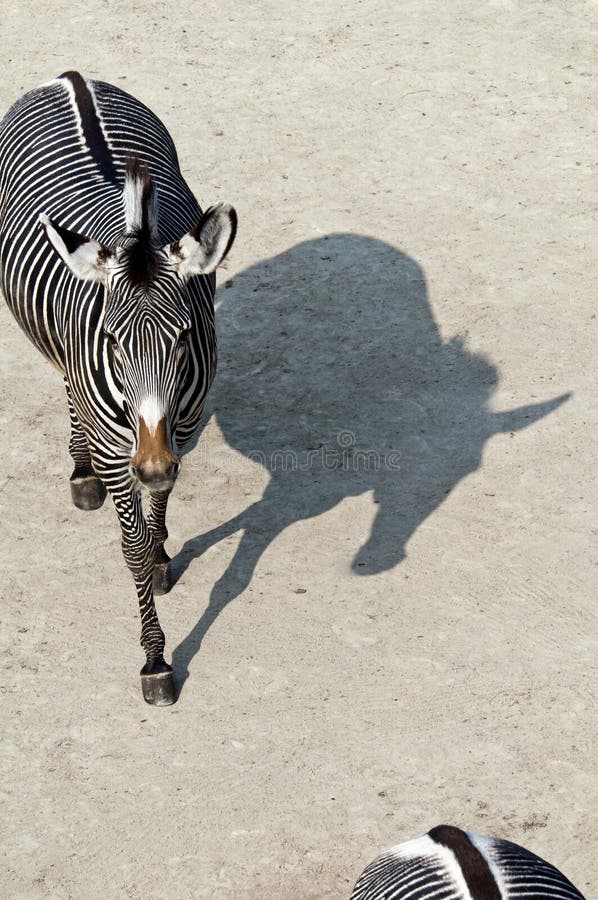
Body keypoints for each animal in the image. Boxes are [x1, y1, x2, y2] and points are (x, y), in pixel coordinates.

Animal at [0, 72, 237, 705]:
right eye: (111, 340)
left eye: (184, 337)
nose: (150, 465)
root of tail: (73, 78)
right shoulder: (122, 449)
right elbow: (129, 551)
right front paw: (156, 660)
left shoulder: (180, 430)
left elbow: (160, 505)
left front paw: (160, 554)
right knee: (66, 382)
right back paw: (80, 474)